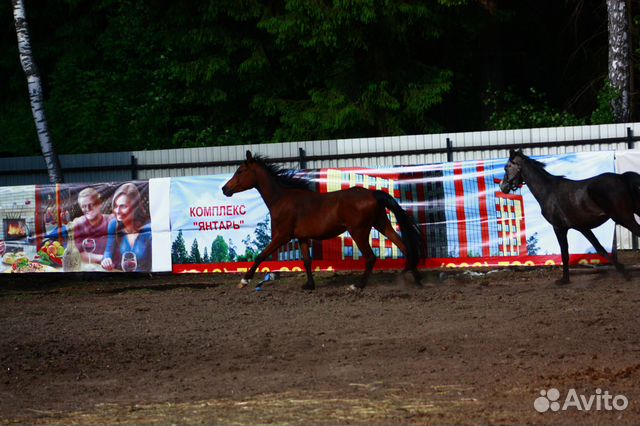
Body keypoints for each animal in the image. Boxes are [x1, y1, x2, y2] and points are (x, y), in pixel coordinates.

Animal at [221, 151, 426, 291]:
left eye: (240, 171)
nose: (225, 189)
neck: (281, 199)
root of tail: (372, 194)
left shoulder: (282, 236)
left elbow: (261, 255)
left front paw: (244, 280)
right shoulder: (302, 238)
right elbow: (306, 260)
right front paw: (309, 285)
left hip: (359, 231)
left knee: (371, 257)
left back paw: (357, 285)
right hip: (381, 224)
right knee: (405, 247)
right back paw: (416, 279)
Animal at [500, 148, 640, 284]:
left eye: (506, 167)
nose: (503, 186)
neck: (548, 191)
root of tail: (622, 177)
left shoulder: (558, 228)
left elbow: (564, 253)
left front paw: (564, 280)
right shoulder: (582, 227)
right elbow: (600, 249)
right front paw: (623, 271)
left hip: (623, 217)